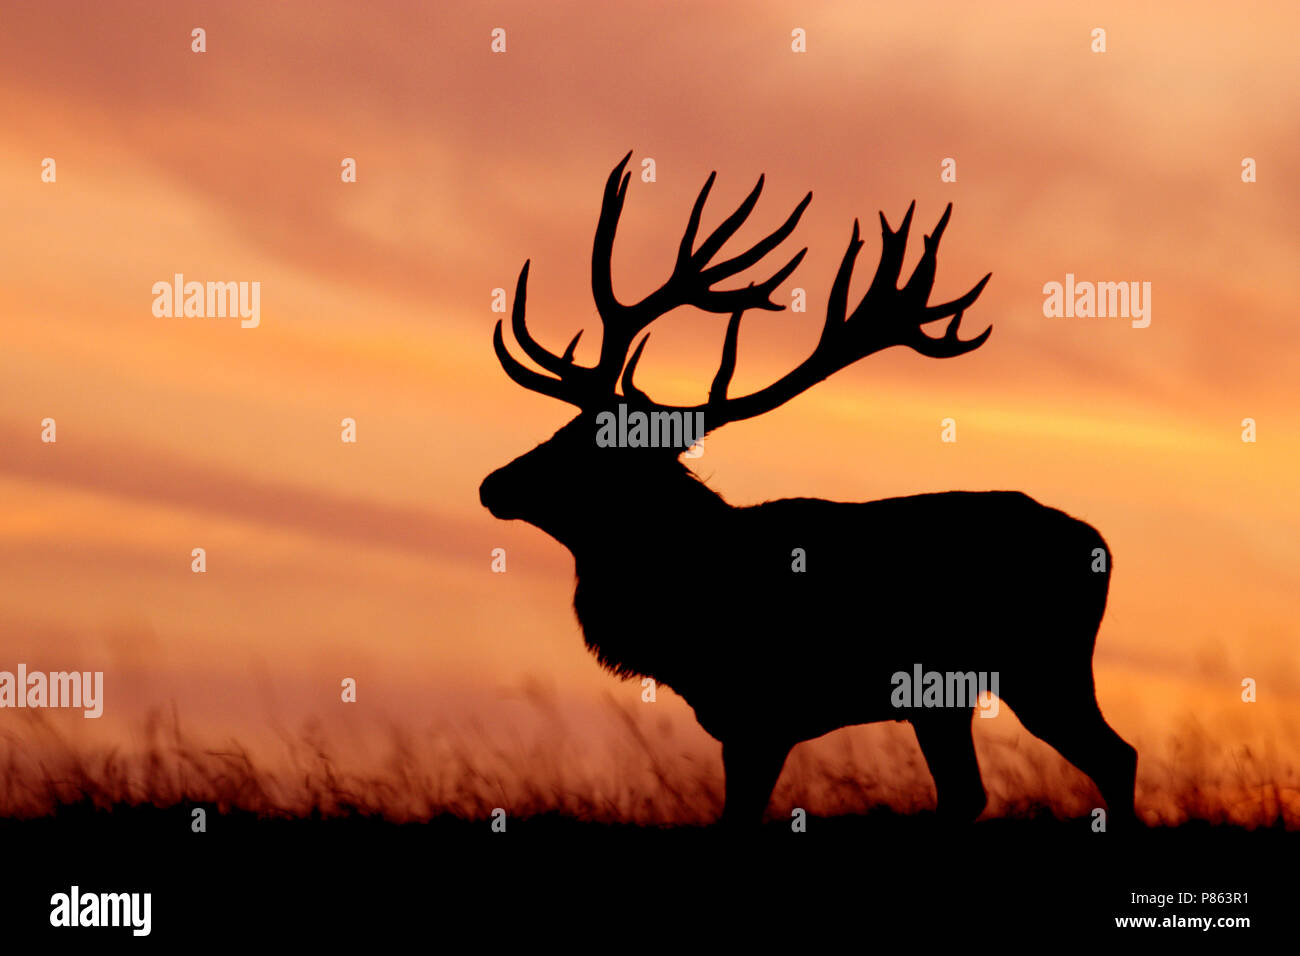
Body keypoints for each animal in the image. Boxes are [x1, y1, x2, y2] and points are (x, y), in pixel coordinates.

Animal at [479, 152, 1138, 828]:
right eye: (564, 427)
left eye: (597, 450)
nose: (494, 484)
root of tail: (1100, 547)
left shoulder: (761, 717)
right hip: (955, 694)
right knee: (987, 787)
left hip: (1040, 665)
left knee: (1111, 757)